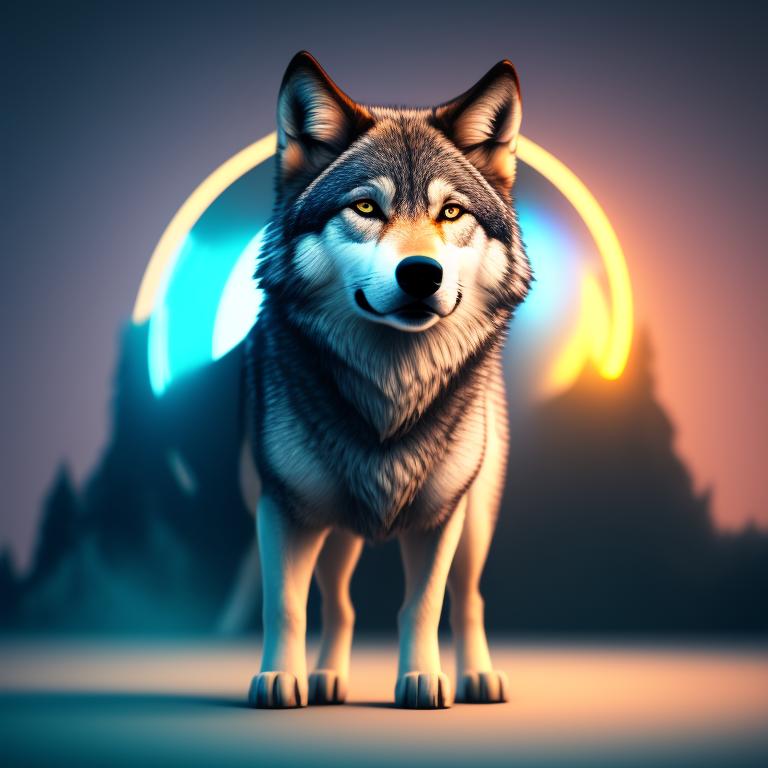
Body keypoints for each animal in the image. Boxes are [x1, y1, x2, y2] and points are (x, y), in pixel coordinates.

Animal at [240, 51, 531, 709]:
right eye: (367, 208)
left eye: (451, 212)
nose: (421, 273)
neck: (391, 388)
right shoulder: (283, 507)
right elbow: (286, 606)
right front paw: (279, 680)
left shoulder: (443, 516)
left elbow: (423, 605)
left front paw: (423, 681)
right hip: (333, 528)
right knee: (340, 605)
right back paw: (325, 680)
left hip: (478, 517)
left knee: (469, 597)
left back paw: (479, 678)